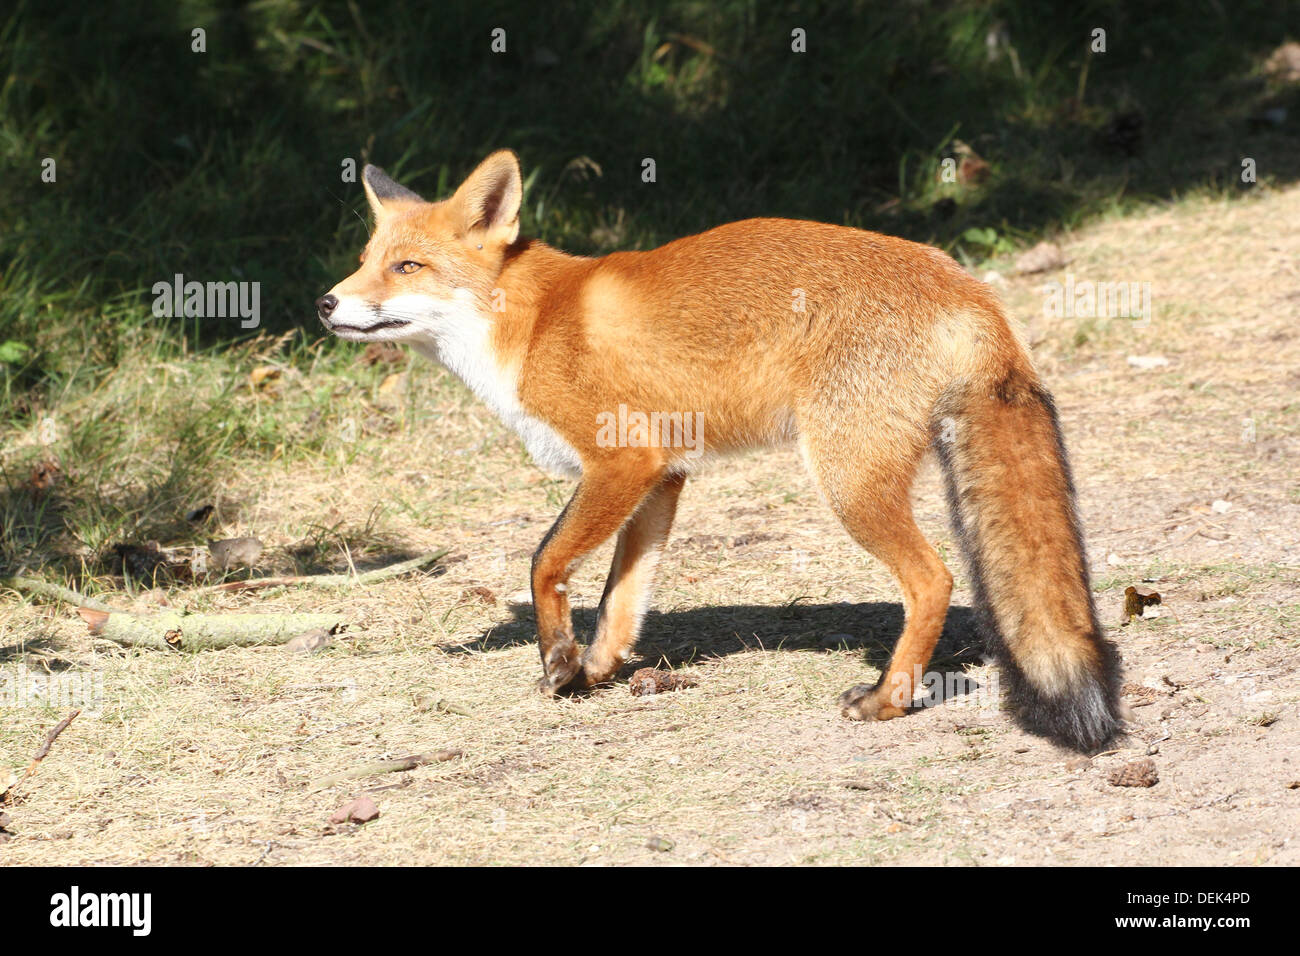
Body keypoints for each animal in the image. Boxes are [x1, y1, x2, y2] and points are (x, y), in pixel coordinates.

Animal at [317, 150, 1123, 752]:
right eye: (364, 260)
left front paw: (557, 663)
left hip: (847, 483)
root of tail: (963, 282)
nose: (326, 302)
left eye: (408, 268)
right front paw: (596, 670)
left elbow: (545, 562)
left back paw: (887, 701)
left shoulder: (623, 460)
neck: (533, 322)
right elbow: (622, 598)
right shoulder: (664, 475)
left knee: (934, 580)